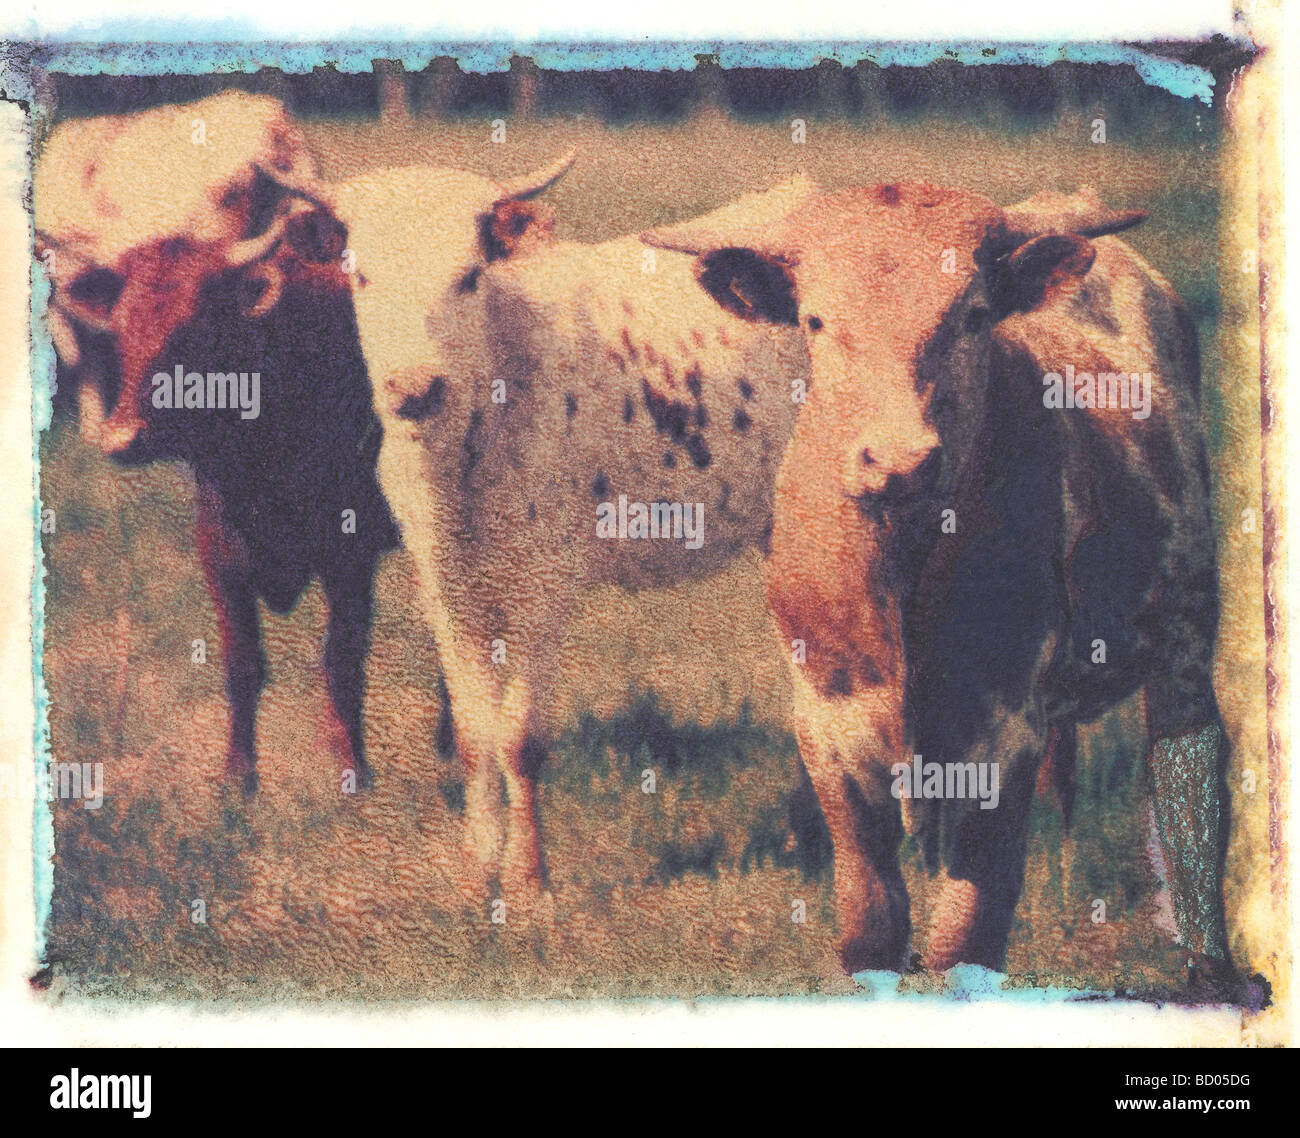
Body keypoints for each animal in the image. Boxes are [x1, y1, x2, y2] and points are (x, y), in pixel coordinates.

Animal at [35, 92, 402, 796]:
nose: (121, 438)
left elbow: (342, 662)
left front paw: (353, 774)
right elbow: (242, 663)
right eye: (124, 328)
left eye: (198, 330)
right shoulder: (220, 552)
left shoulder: (352, 555)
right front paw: (238, 779)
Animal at [644, 181, 1245, 997]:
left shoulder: (1004, 729)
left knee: (1190, 785)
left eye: (974, 316)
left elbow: (967, 932)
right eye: (815, 320)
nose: (898, 461)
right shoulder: (826, 722)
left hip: (1184, 646)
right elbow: (872, 921)